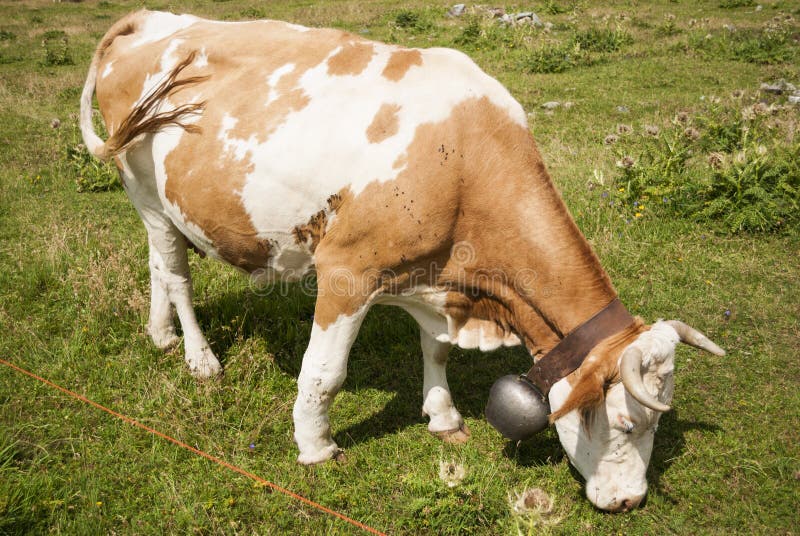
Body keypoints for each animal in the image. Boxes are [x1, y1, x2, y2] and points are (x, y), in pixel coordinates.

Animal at [80, 10, 724, 512]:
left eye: (659, 425)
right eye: (630, 423)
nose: (630, 501)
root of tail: (151, 18)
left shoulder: (432, 279)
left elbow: (434, 350)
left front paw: (443, 417)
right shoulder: (346, 270)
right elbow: (325, 374)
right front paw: (315, 448)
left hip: (159, 204)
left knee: (157, 264)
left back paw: (160, 335)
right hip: (143, 187)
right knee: (177, 275)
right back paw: (199, 358)